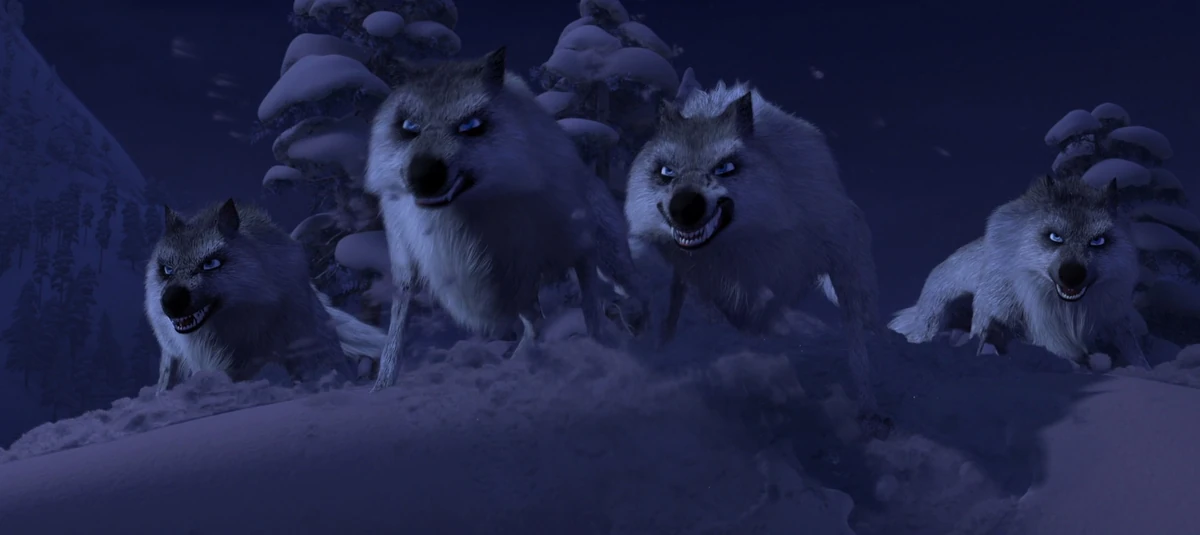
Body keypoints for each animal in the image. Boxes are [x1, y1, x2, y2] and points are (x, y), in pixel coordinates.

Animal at [364, 47, 648, 390]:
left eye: (471, 125)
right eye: (409, 126)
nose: (423, 175)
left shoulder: (580, 250)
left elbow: (590, 310)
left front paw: (603, 353)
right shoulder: (408, 262)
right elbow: (396, 328)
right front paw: (382, 387)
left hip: (606, 261)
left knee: (633, 287)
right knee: (535, 322)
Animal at [624, 81, 885, 421]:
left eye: (725, 167)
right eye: (667, 172)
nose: (684, 206)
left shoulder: (838, 248)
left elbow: (857, 344)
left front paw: (870, 409)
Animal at [889, 175, 1150, 369]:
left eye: (1097, 241)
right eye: (1055, 237)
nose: (1072, 274)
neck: (1067, 314)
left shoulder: (1114, 321)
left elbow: (1135, 356)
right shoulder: (995, 315)